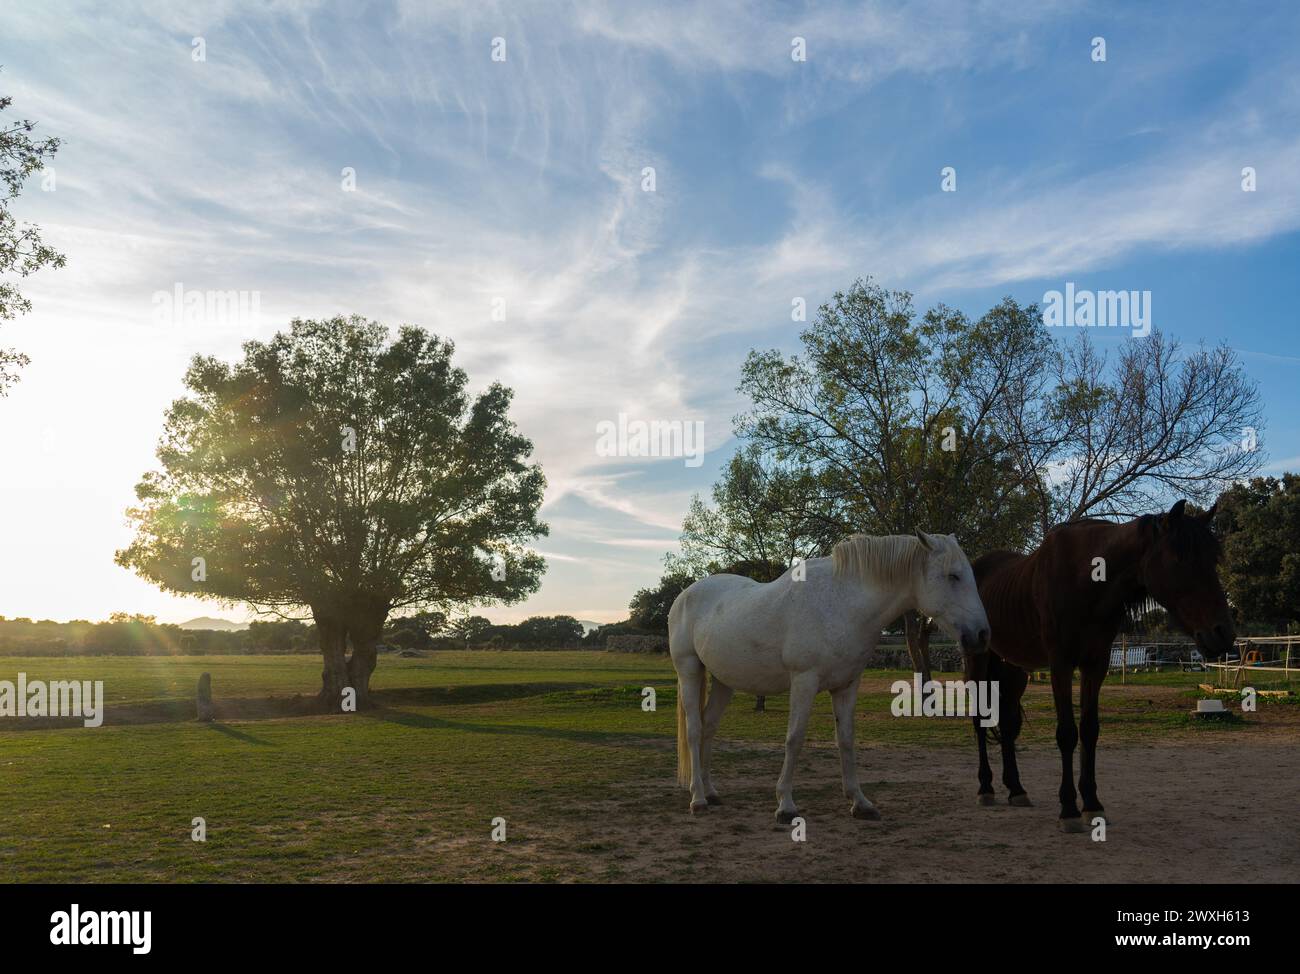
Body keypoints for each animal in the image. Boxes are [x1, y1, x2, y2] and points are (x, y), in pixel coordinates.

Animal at [668, 531, 991, 821]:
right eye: (953, 576)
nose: (981, 635)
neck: (842, 604)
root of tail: (684, 596)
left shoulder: (847, 685)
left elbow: (846, 740)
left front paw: (860, 802)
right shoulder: (804, 681)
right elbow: (794, 738)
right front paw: (785, 804)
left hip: (724, 681)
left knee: (709, 727)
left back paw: (711, 792)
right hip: (689, 670)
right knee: (695, 730)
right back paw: (698, 799)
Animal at [967, 500, 1234, 832]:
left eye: (1213, 559)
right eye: (1180, 559)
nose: (1223, 633)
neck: (1085, 579)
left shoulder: (1096, 664)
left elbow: (1089, 730)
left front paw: (1092, 804)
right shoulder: (1061, 664)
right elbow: (1067, 734)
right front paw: (1069, 809)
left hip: (1014, 669)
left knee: (1008, 723)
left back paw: (1016, 789)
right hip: (978, 662)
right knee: (979, 720)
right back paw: (986, 787)